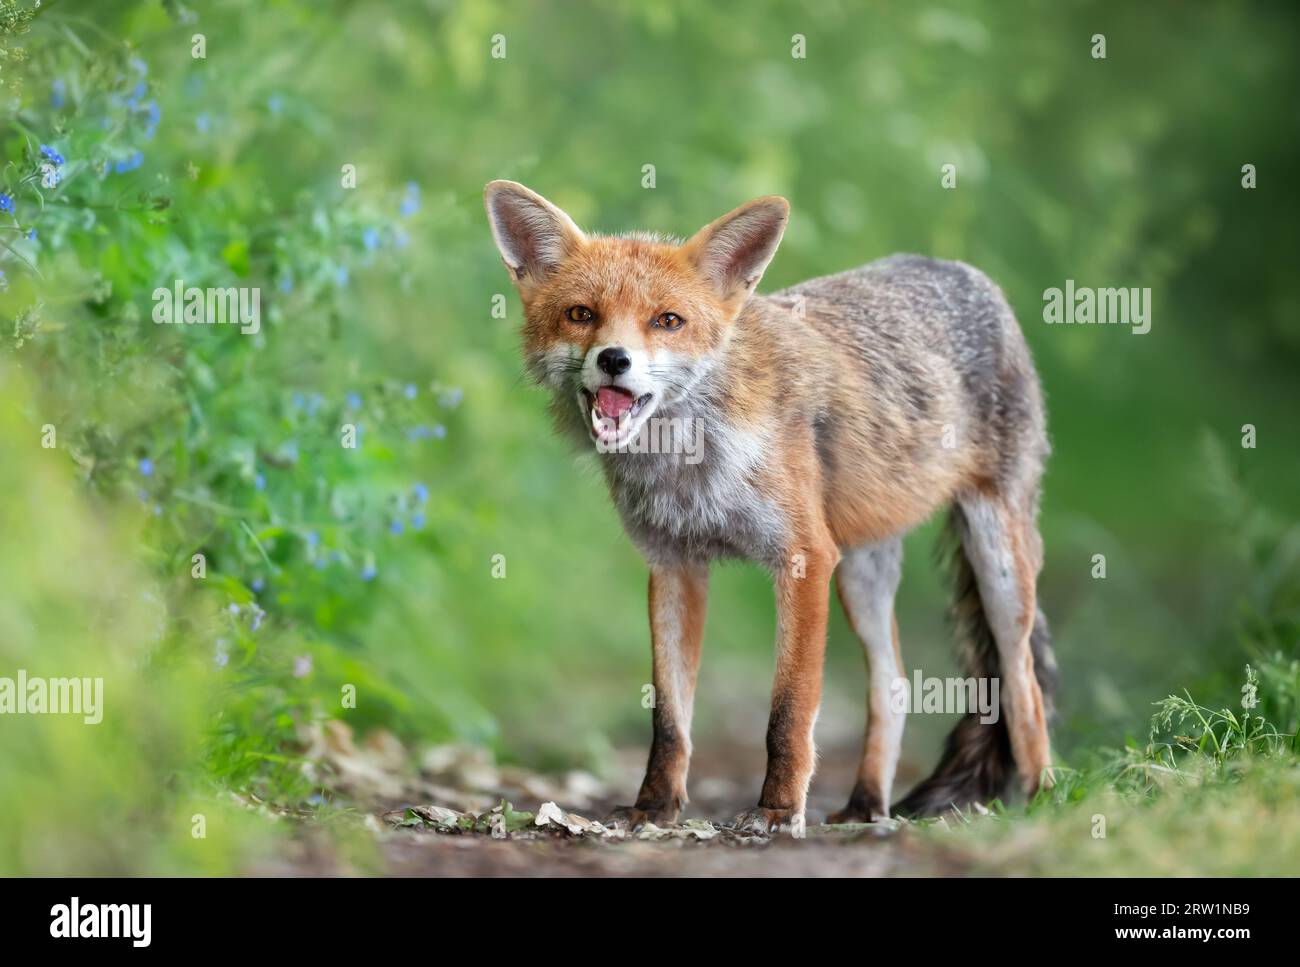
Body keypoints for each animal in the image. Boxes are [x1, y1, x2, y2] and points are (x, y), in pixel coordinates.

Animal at [484, 180, 1058, 833]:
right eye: (581, 314)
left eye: (667, 321)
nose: (614, 360)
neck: (690, 466)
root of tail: (964, 272)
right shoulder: (674, 566)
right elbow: (670, 720)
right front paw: (655, 809)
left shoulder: (805, 559)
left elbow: (789, 713)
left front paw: (779, 813)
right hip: (863, 576)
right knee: (894, 687)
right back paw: (866, 806)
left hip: (996, 566)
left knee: (1022, 686)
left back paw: (1040, 803)